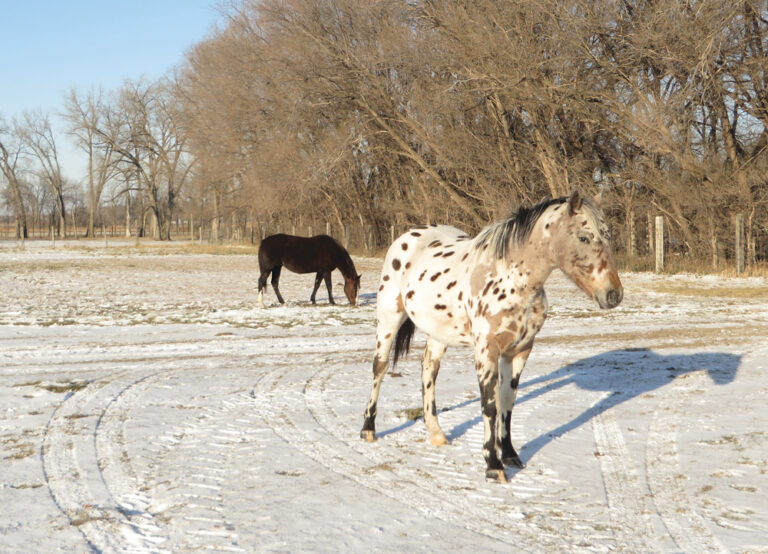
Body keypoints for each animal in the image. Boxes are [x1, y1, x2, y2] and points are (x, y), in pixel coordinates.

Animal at [360, 191, 623, 482]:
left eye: (608, 236)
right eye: (584, 237)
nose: (613, 295)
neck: (512, 279)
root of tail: (408, 236)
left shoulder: (519, 351)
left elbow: (508, 401)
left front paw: (509, 454)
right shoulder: (487, 350)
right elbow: (490, 405)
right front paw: (493, 465)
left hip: (439, 332)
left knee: (428, 369)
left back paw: (437, 433)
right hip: (389, 319)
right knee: (380, 367)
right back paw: (368, 429)